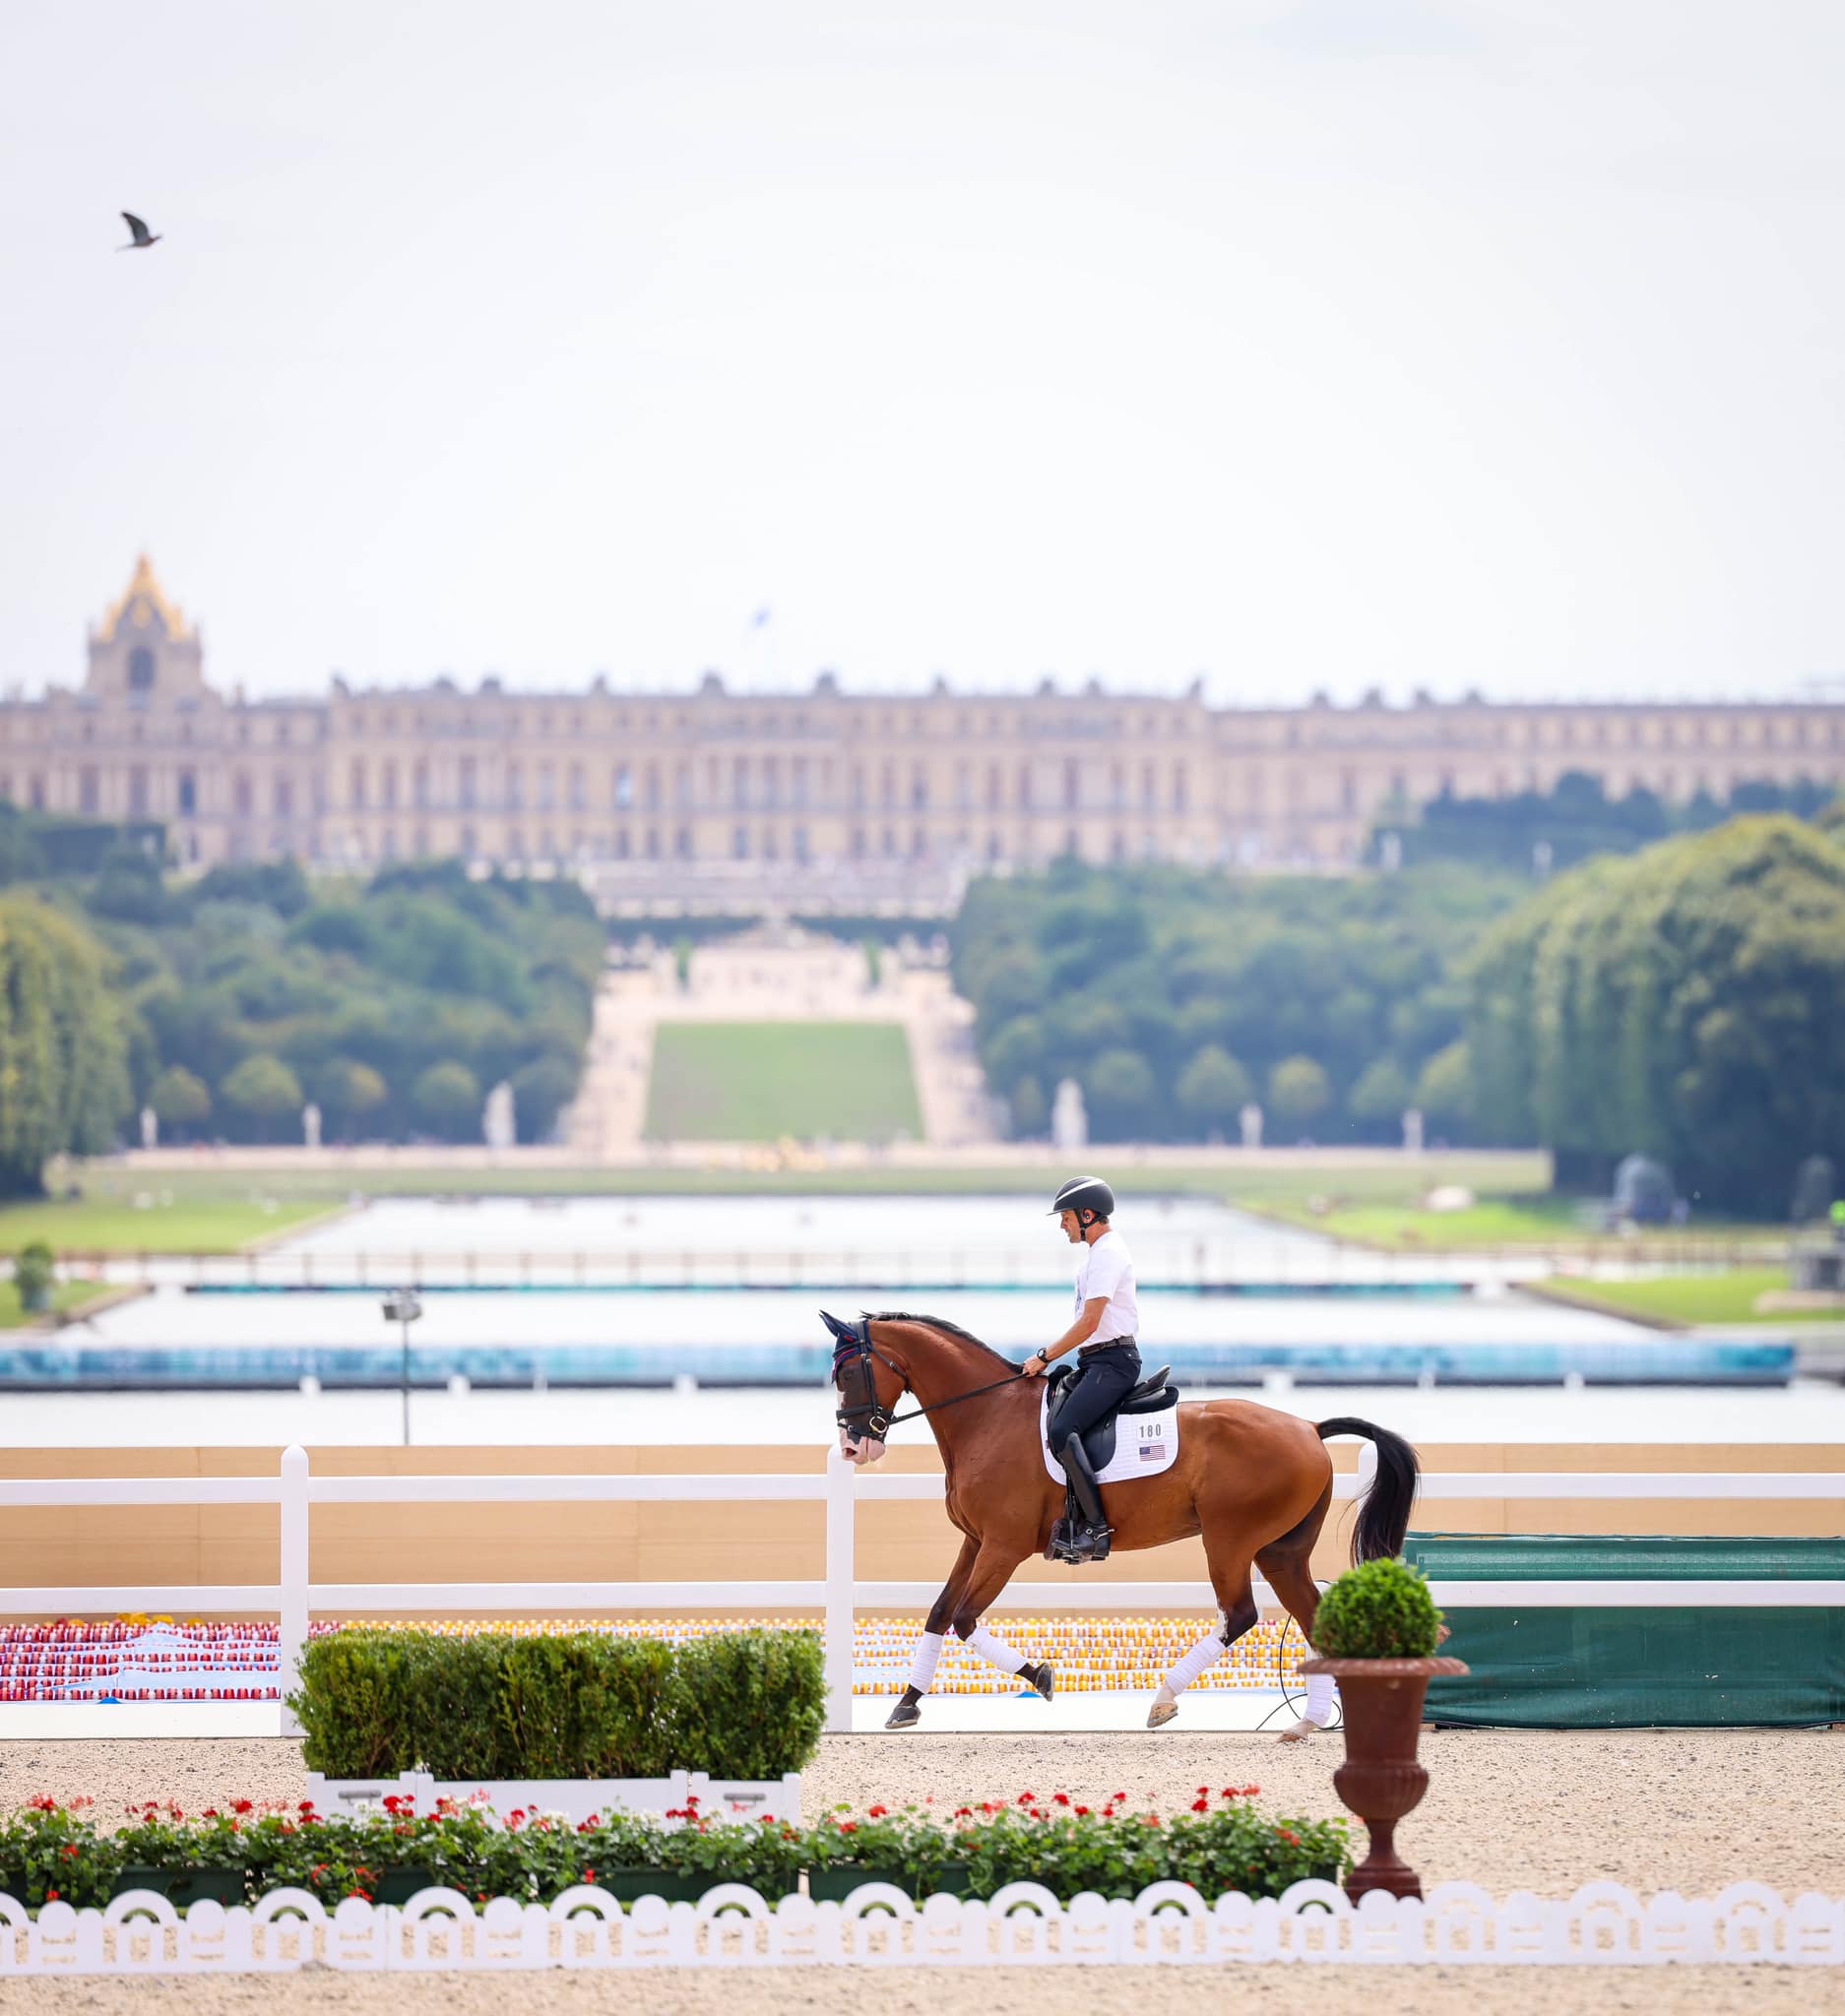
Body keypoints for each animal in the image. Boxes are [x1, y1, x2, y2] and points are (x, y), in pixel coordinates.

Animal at [828, 1309, 1419, 1733]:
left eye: (847, 1372)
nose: (855, 1447)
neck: (987, 1415)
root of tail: (1309, 1428)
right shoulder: (976, 1542)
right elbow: (938, 1614)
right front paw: (906, 1704)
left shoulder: (1003, 1546)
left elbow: (966, 1619)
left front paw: (1040, 1675)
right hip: (1281, 1552)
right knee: (1311, 1616)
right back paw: (1312, 1722)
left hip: (1230, 1541)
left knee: (1240, 1615)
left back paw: (1163, 1700)